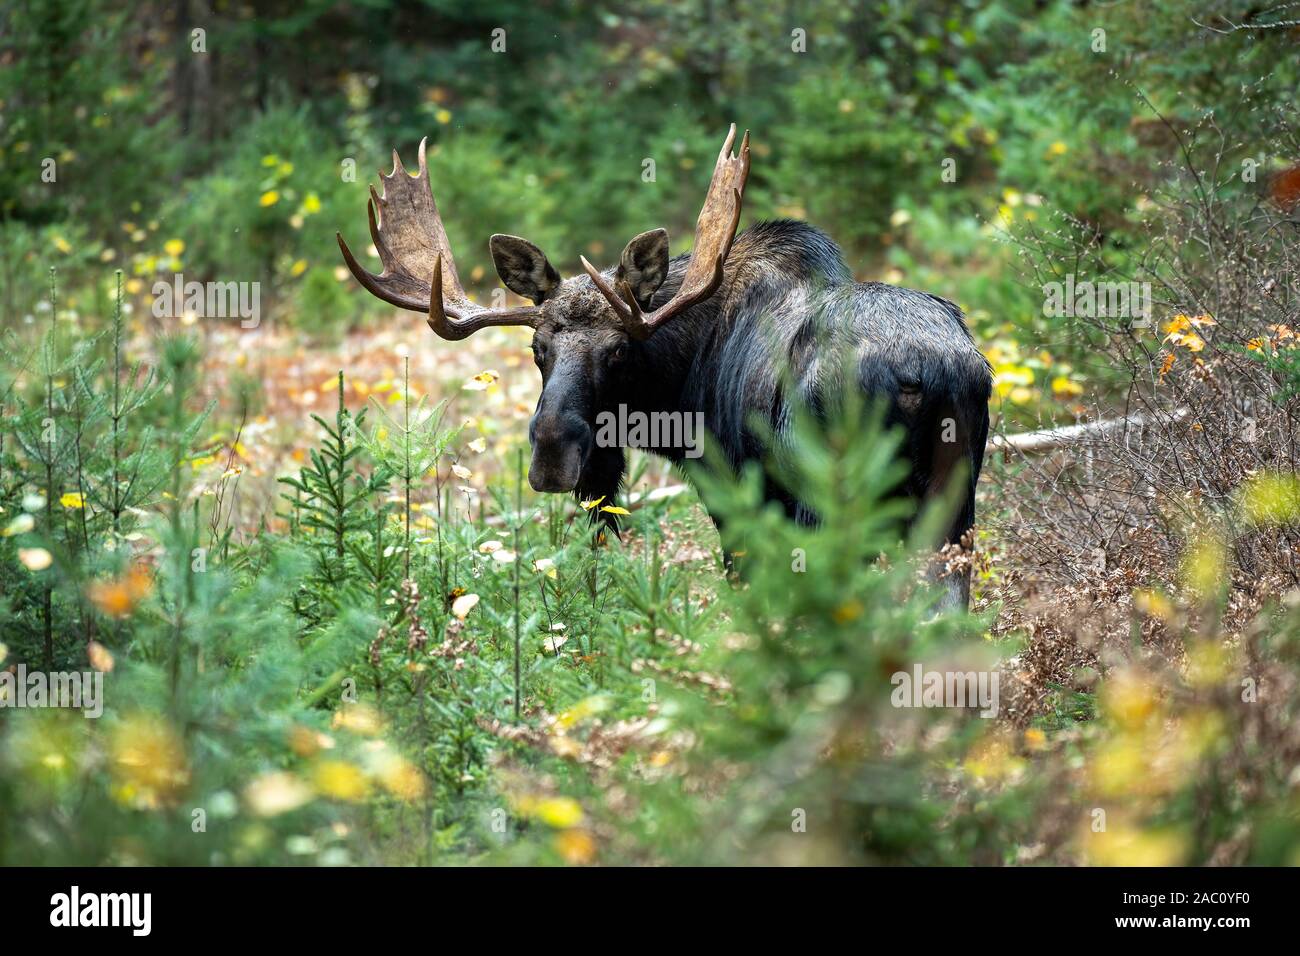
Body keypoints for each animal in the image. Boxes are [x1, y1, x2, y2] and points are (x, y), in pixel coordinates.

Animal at [338, 126, 992, 610]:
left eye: (619, 350)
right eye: (537, 350)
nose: (553, 452)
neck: (680, 391)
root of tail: (931, 373)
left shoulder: (737, 488)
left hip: (833, 492)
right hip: (953, 504)